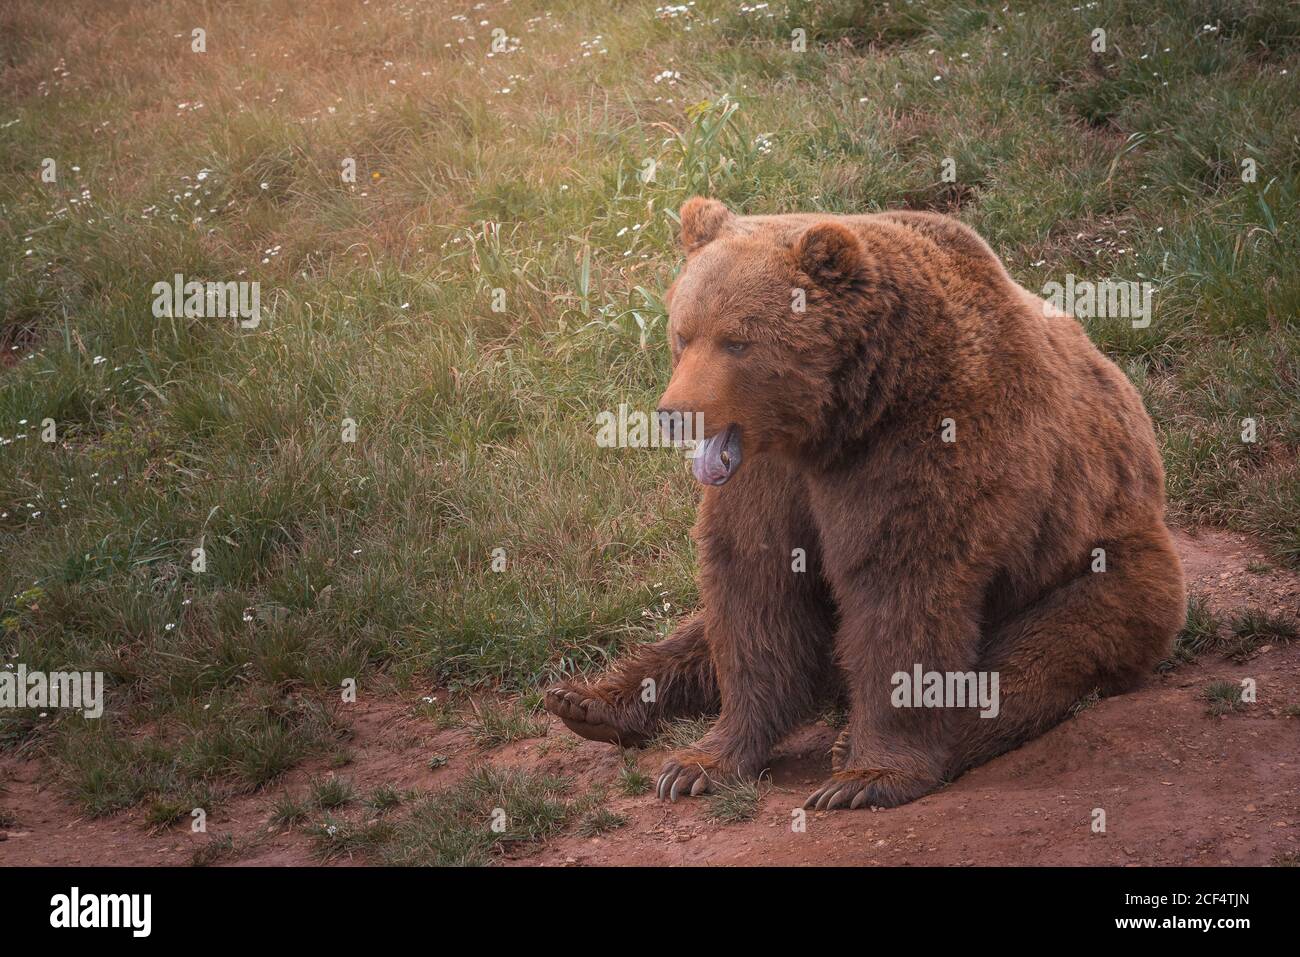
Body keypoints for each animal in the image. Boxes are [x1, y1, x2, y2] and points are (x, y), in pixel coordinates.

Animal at [544, 198, 1187, 810]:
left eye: (738, 340)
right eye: (683, 332)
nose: (676, 415)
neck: (839, 420)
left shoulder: (926, 451)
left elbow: (901, 595)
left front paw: (866, 776)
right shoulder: (768, 477)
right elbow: (754, 590)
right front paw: (699, 763)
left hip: (1098, 566)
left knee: (1035, 659)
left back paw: (864, 740)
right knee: (694, 634)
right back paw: (587, 701)